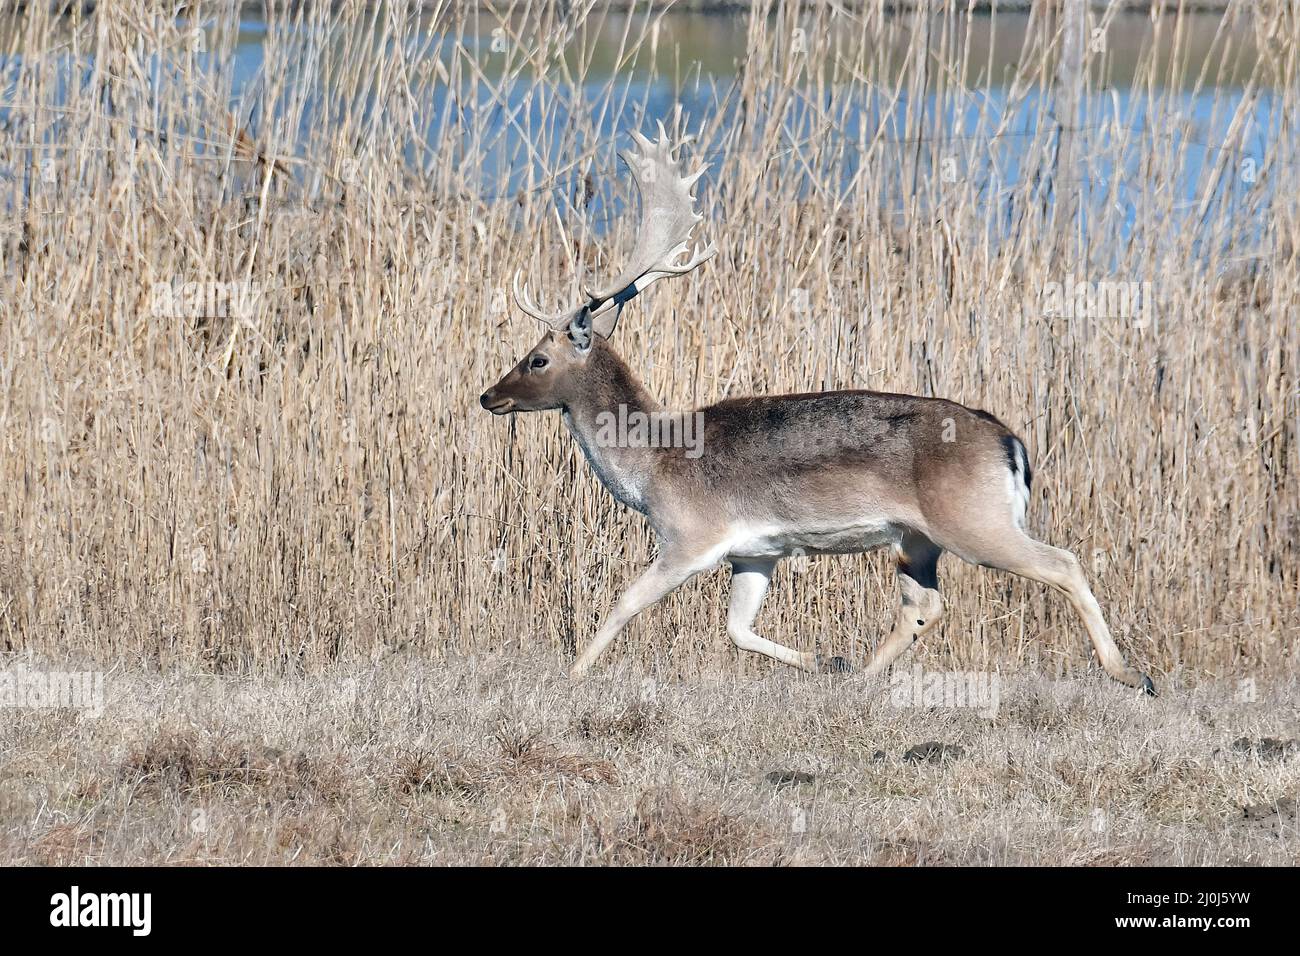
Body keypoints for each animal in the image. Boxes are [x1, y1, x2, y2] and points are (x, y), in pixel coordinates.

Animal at [479, 125, 1156, 697]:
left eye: (537, 358)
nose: (488, 396)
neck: (652, 463)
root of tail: (1011, 444)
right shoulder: (756, 550)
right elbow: (737, 627)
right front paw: (825, 658)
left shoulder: (691, 533)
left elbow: (625, 602)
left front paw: (571, 673)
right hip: (916, 537)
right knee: (922, 605)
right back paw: (859, 674)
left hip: (976, 521)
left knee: (1062, 562)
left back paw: (1132, 673)